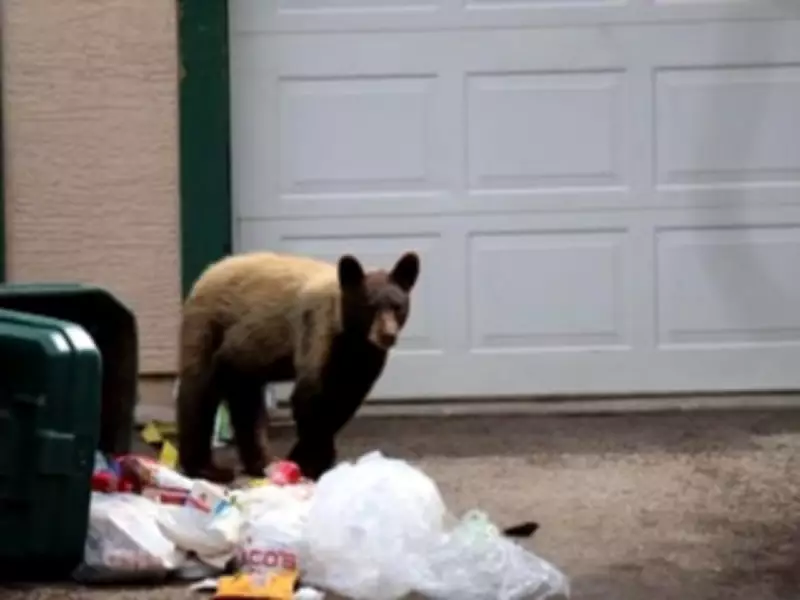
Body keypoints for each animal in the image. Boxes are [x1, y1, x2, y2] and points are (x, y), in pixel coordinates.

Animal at [175, 250, 420, 484]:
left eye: (398, 306)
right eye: (370, 306)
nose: (387, 335)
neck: (352, 337)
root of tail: (208, 272)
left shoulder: (363, 358)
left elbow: (344, 400)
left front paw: (304, 460)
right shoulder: (317, 331)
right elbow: (310, 397)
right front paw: (313, 462)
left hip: (244, 358)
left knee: (245, 400)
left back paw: (261, 462)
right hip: (210, 325)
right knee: (199, 390)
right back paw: (206, 468)